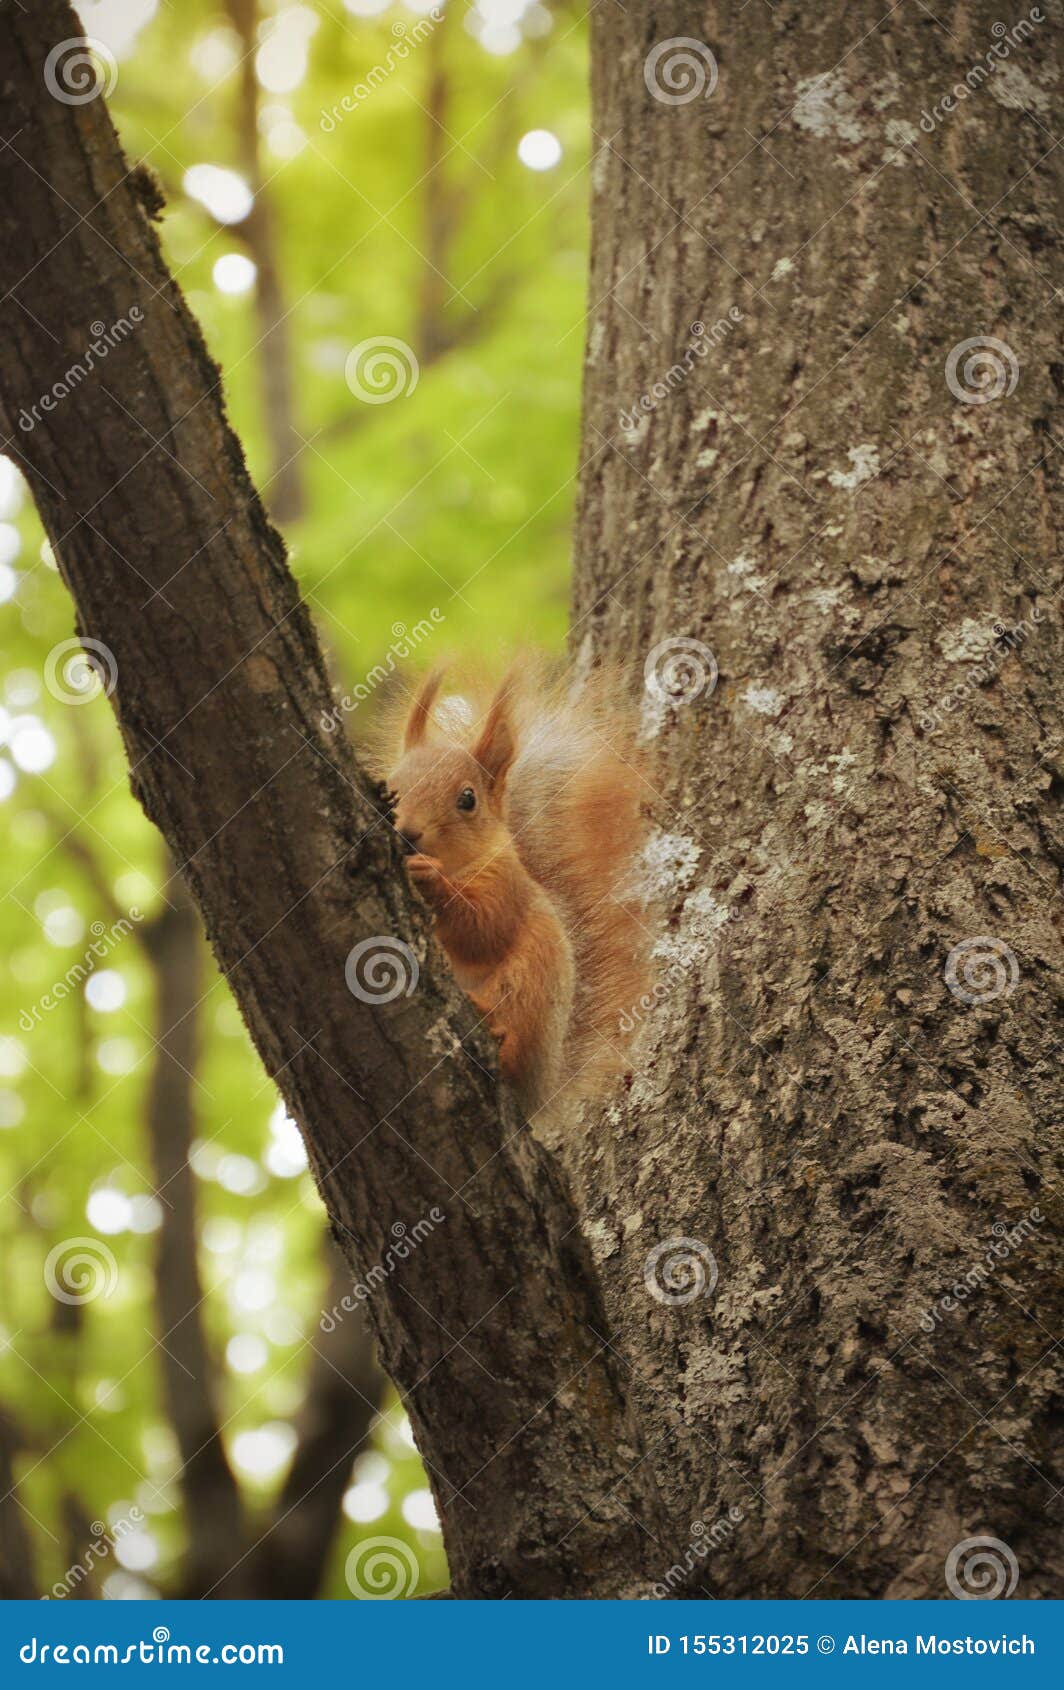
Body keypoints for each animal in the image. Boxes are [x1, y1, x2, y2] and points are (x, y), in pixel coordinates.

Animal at [376, 660, 649, 1113]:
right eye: (389, 786)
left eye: (467, 799)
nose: (408, 832)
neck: (460, 863)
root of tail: (541, 1087)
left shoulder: (508, 886)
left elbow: (483, 929)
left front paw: (430, 879)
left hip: (527, 980)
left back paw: (493, 1024)